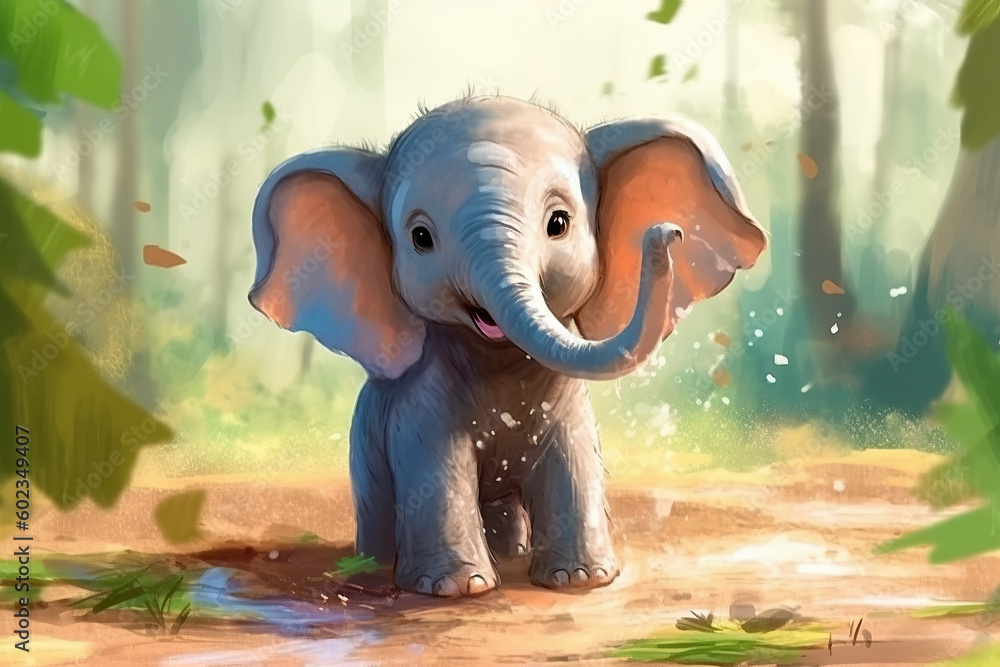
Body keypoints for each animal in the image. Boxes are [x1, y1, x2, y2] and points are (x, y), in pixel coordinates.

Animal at [249, 95, 766, 597]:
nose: (666, 233)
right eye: (420, 238)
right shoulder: (418, 407)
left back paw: (510, 555)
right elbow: (435, 472)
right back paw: (376, 569)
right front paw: (458, 589)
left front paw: (583, 580)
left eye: (559, 223)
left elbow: (573, 461)